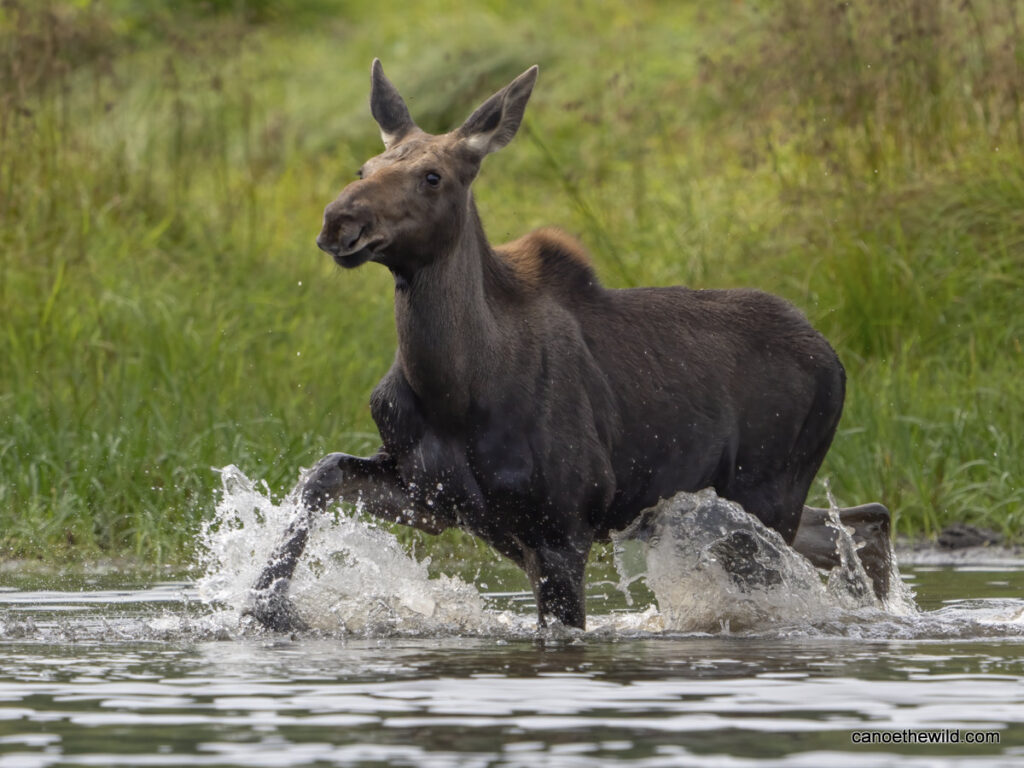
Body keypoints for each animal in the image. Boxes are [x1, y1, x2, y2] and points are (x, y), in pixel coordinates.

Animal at [245, 60, 892, 632]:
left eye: (433, 176)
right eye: (364, 166)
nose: (340, 220)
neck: (453, 390)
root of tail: (836, 363)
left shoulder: (563, 528)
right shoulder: (433, 499)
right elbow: (321, 474)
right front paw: (265, 607)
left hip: (766, 494)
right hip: (748, 504)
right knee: (865, 523)